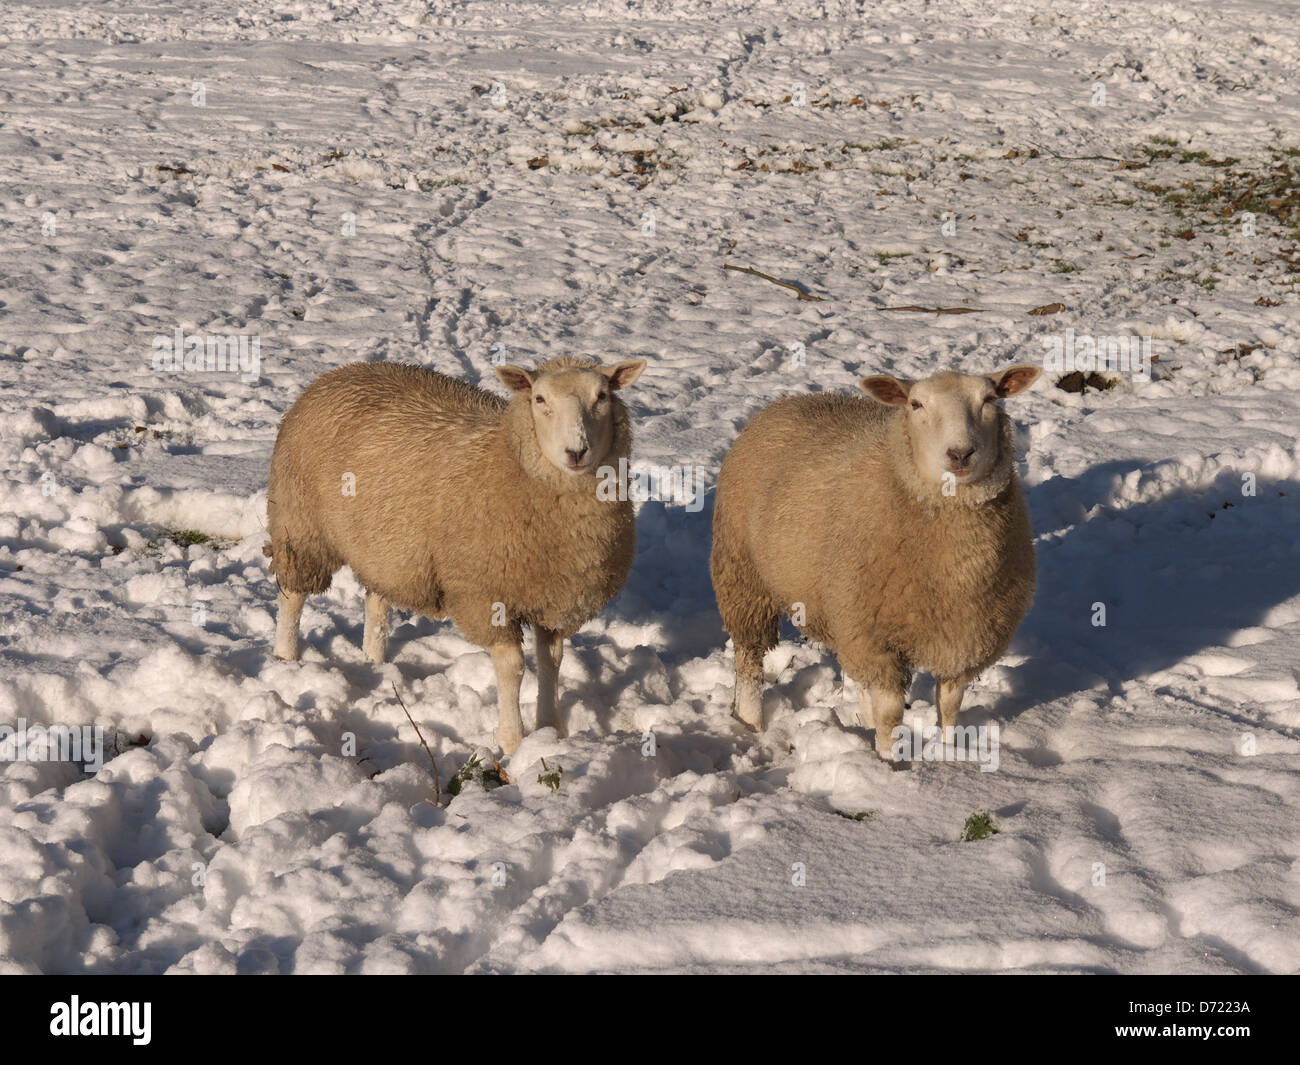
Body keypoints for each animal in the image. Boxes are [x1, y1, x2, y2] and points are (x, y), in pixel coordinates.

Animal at [265, 356, 647, 755]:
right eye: (540, 399)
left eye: (602, 396)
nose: (576, 452)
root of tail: (341, 371)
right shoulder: (487, 595)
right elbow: (512, 667)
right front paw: (512, 742)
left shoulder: (556, 601)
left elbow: (552, 661)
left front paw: (549, 732)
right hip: (301, 525)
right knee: (293, 596)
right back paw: (286, 658)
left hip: (385, 545)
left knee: (377, 599)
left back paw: (374, 661)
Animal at [709, 365, 1041, 760]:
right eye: (916, 404)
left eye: (990, 400)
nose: (960, 454)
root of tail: (789, 399)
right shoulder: (876, 636)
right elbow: (890, 714)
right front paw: (888, 762)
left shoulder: (966, 635)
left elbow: (949, 705)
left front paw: (948, 756)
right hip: (743, 575)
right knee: (749, 657)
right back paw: (751, 723)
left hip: (838, 607)